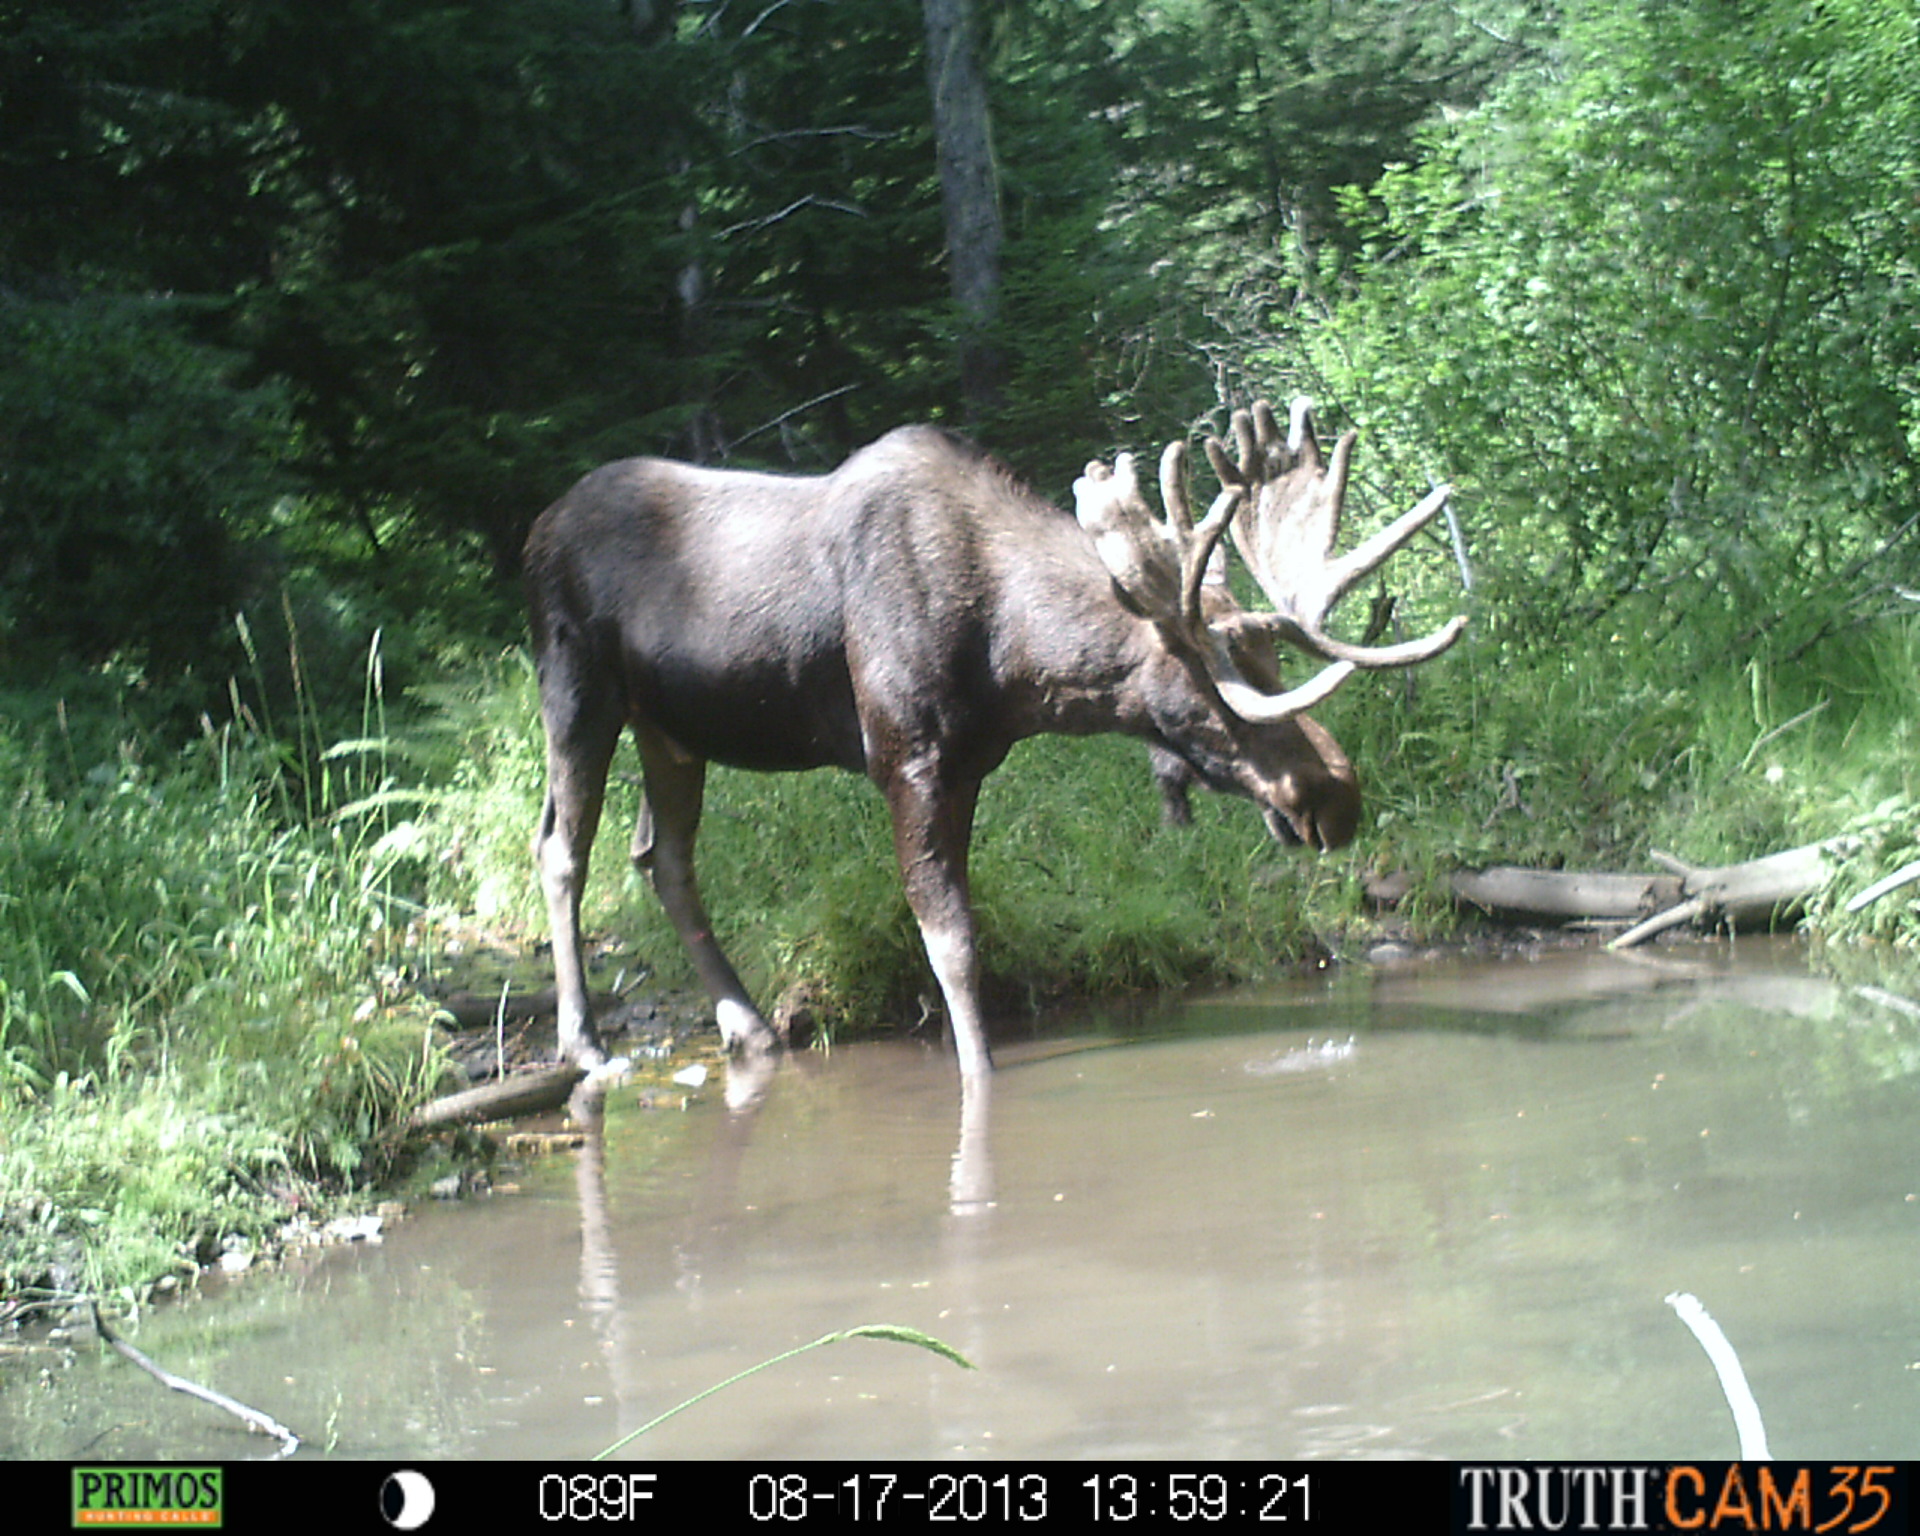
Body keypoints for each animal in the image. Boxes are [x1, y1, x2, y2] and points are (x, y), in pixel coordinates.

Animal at [523, 398, 1464, 1084]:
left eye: (1275, 661)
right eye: (1225, 691)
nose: (1337, 794)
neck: (1016, 659)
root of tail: (534, 529)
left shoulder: (970, 766)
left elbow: (966, 928)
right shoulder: (906, 759)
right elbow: (951, 942)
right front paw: (977, 1080)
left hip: (672, 729)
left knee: (663, 856)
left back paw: (748, 1025)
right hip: (577, 684)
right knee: (563, 849)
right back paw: (586, 1044)